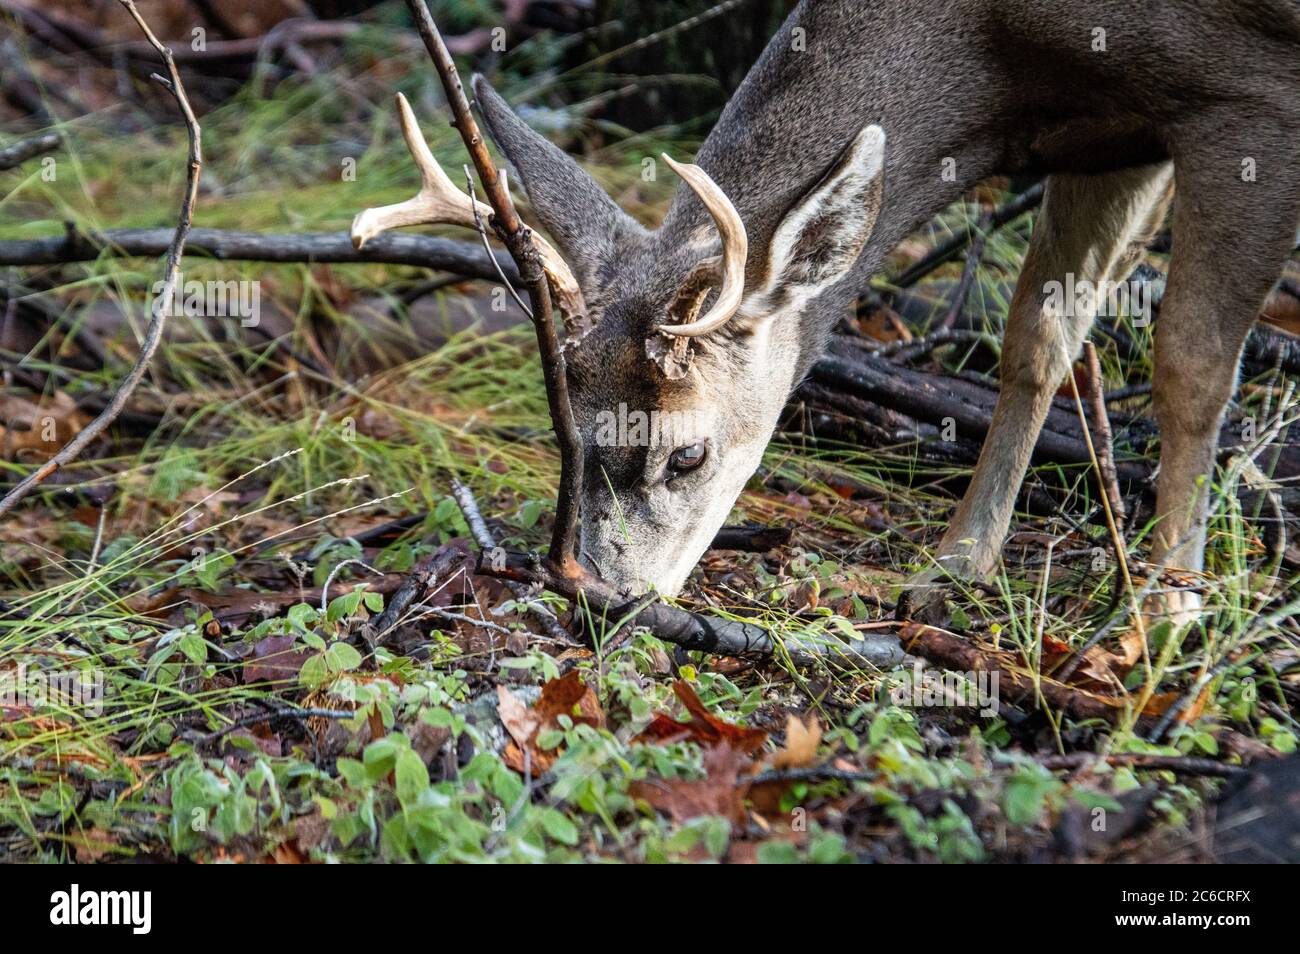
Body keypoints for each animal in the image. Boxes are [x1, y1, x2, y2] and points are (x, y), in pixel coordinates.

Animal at [354, 0, 1300, 623]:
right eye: (567, 434)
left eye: (688, 454)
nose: (600, 598)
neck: (1005, 46)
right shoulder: (1109, 134)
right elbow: (1038, 333)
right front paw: (952, 570)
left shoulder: (1252, 95)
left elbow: (1191, 362)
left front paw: (1166, 614)